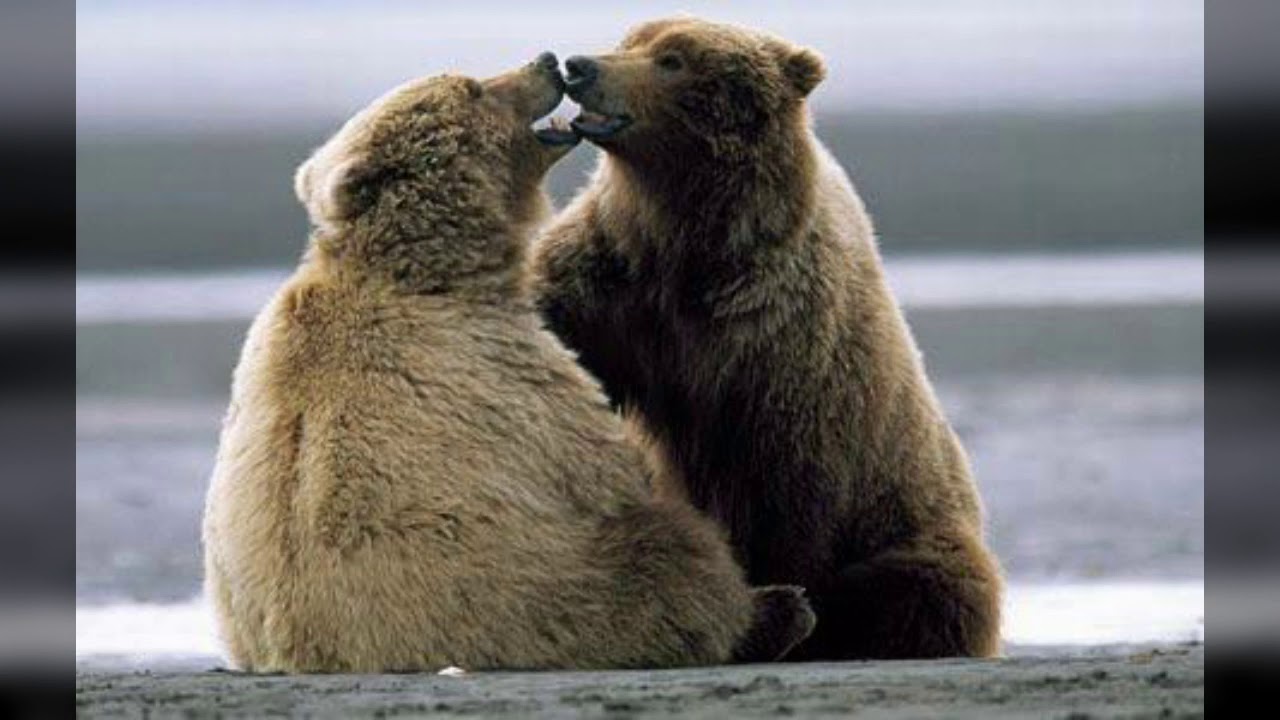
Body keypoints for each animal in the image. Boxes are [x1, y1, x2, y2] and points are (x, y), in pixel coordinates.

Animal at [201, 54, 815, 674]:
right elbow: (596, 459)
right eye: (474, 87)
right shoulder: (501, 364)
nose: (546, 61)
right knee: (670, 566)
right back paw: (779, 608)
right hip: (535, 593)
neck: (434, 268)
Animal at [531, 18, 1004, 660]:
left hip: (918, 524)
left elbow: (784, 487)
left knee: (929, 586)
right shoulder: (616, 282)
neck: (693, 245)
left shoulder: (782, 346)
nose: (580, 66)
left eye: (672, 60)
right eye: (631, 40)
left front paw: (779, 599)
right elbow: (566, 328)